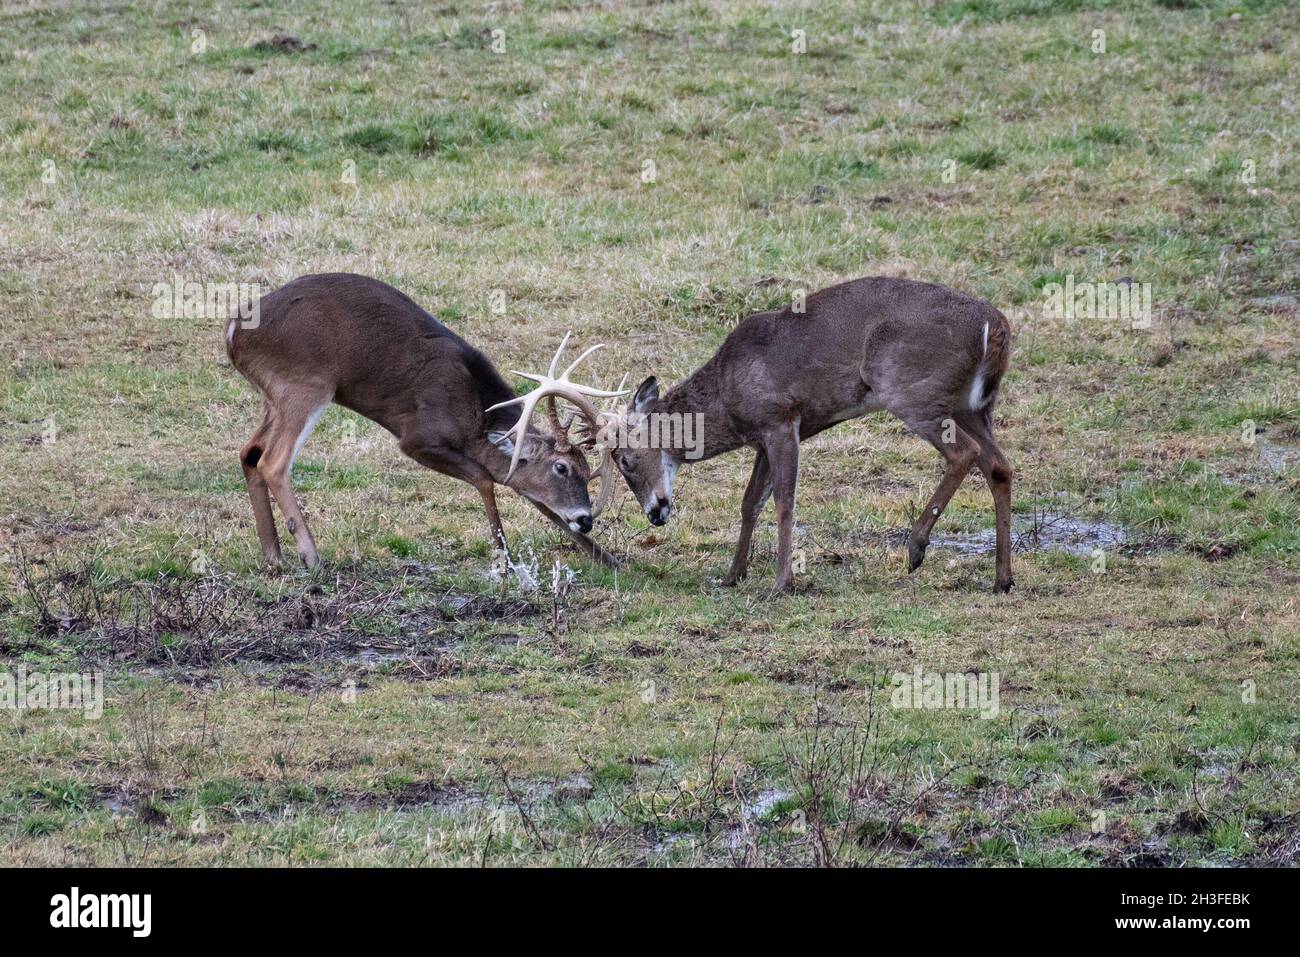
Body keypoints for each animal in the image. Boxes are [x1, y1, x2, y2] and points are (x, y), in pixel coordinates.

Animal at [224, 273, 628, 569]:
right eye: (561, 467)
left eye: (586, 468)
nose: (586, 518)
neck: (472, 410)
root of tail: (233, 331)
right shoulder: (418, 437)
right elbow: (485, 478)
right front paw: (505, 561)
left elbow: (534, 497)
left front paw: (611, 561)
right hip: (306, 384)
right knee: (273, 461)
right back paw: (310, 556)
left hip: (274, 395)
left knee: (249, 451)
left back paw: (273, 555)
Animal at [605, 276, 1014, 594]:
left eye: (624, 459)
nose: (654, 514)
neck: (725, 394)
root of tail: (995, 326)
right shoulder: (764, 438)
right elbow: (750, 502)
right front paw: (733, 576)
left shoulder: (780, 420)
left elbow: (784, 501)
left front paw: (782, 583)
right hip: (972, 406)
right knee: (998, 465)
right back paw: (1002, 579)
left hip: (912, 390)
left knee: (964, 453)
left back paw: (916, 549)